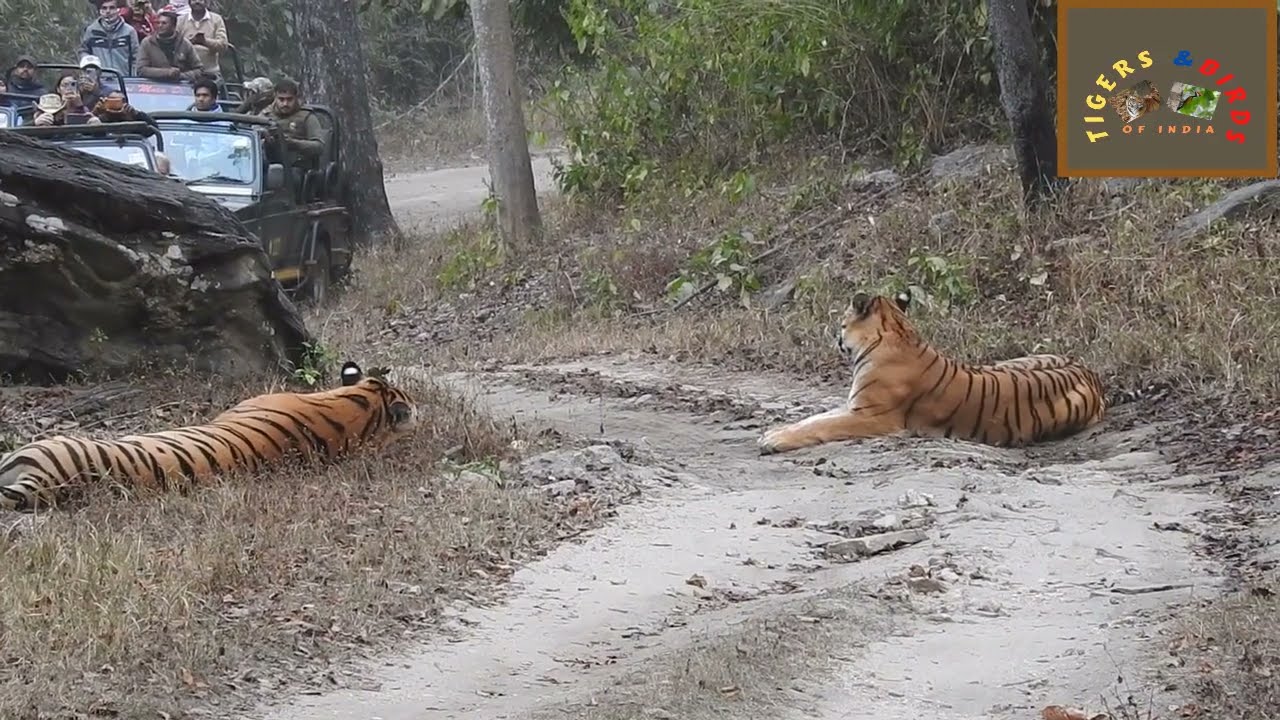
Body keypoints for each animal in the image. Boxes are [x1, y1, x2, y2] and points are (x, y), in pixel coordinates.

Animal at [757, 290, 1106, 455]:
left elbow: (824, 425)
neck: (897, 332)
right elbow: (815, 419)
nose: (834, 338)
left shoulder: (872, 416)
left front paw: (774, 440)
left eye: (842, 323)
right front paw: (774, 431)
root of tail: (1090, 372)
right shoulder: (854, 405)